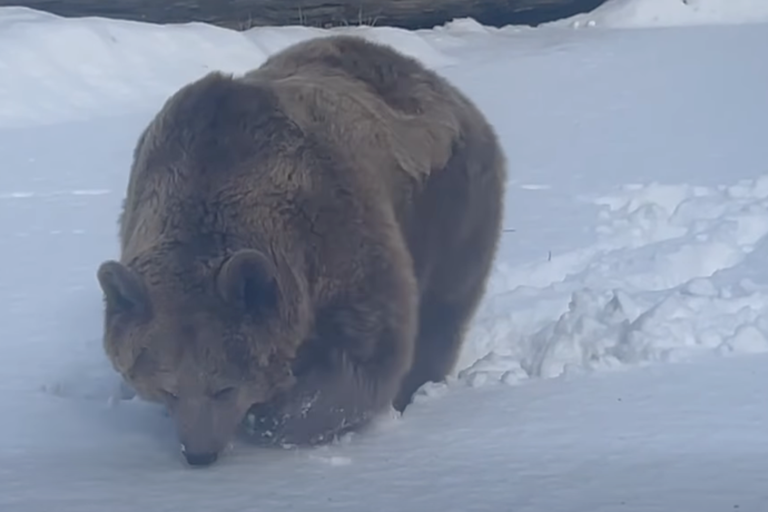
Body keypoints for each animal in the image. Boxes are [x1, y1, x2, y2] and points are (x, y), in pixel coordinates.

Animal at [96, 34, 507, 467]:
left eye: (224, 386)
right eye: (168, 388)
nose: (199, 454)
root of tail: (446, 89)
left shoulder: (333, 233)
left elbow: (365, 350)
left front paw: (278, 415)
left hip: (449, 204)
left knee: (443, 308)